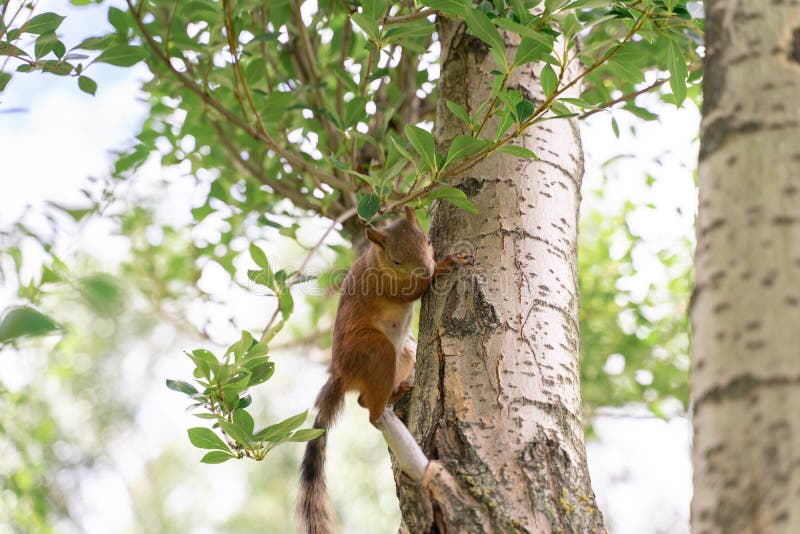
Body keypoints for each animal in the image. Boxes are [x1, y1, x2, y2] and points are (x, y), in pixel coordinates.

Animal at [296, 206, 470, 534]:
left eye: (428, 240)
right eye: (397, 260)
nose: (426, 267)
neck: (375, 261)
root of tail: (341, 374)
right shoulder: (384, 285)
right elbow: (408, 294)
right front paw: (444, 266)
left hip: (403, 354)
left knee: (365, 398)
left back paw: (399, 389)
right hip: (374, 351)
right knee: (369, 409)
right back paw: (389, 404)